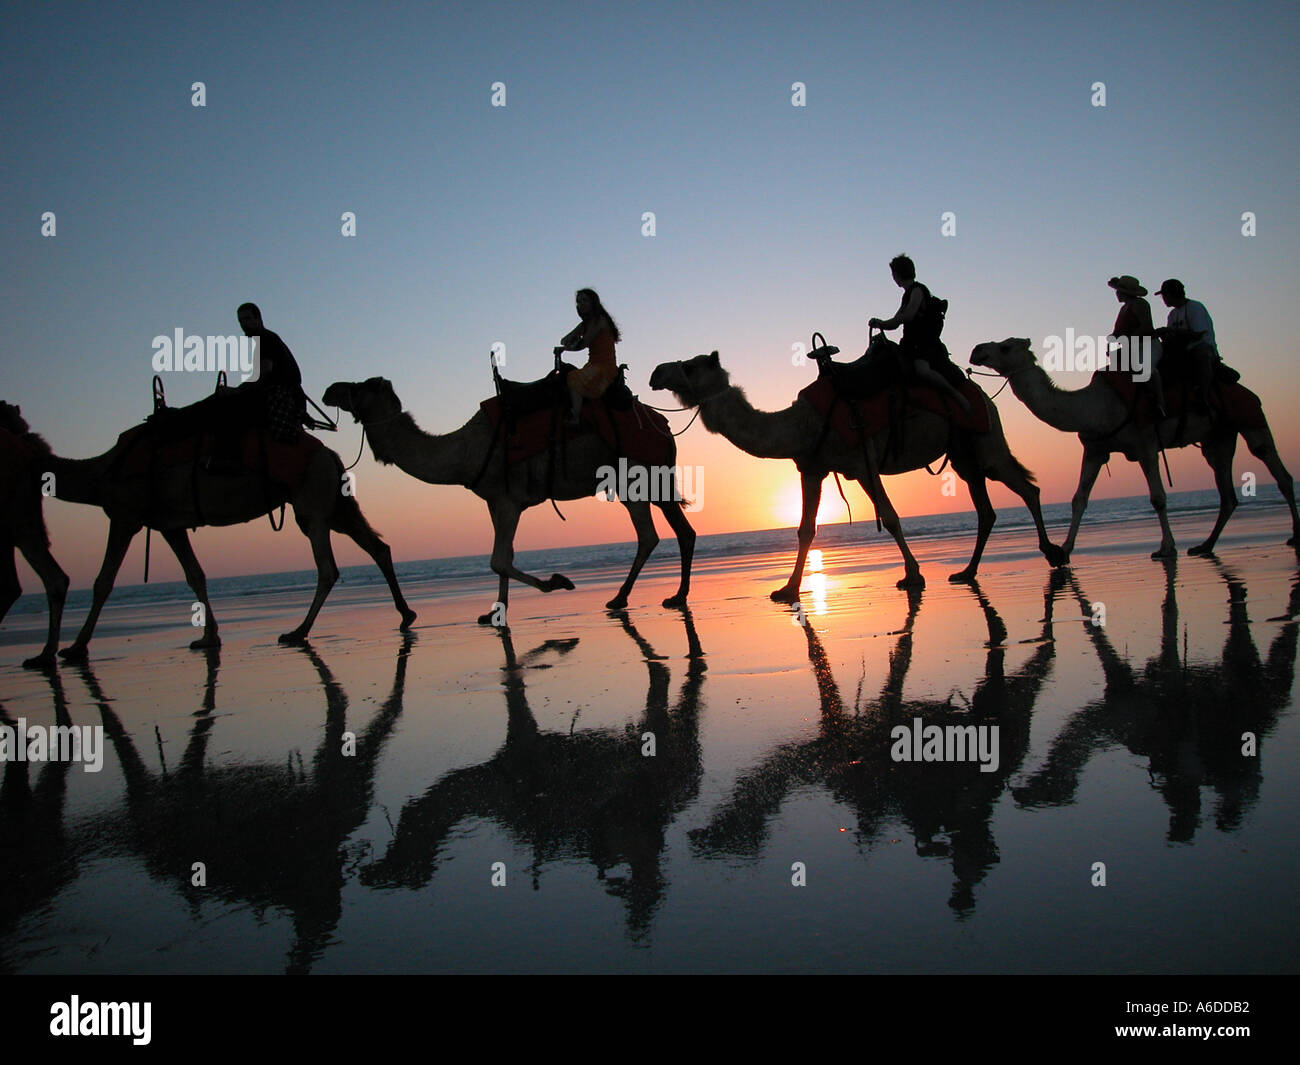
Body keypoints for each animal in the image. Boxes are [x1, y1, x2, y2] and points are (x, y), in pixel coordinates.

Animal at [42, 413, 415, 659]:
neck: (100, 471)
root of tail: (331, 455)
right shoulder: (169, 524)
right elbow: (195, 574)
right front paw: (208, 638)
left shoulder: (125, 514)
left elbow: (103, 581)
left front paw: (75, 647)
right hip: (332, 504)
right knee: (376, 546)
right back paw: (405, 614)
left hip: (313, 501)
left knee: (328, 567)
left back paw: (298, 631)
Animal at [322, 377, 696, 623]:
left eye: (362, 386)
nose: (330, 390)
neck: (464, 451)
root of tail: (662, 423)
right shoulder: (494, 501)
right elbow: (506, 554)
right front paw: (495, 613)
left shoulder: (507, 500)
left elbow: (498, 559)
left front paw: (557, 582)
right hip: (652, 478)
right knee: (678, 531)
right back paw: (662, 596)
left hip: (635, 474)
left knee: (651, 534)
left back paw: (630, 597)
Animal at [649, 351, 1064, 598]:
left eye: (690, 365)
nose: (656, 372)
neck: (801, 424)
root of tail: (982, 394)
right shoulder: (812, 468)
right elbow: (805, 529)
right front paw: (788, 589)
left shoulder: (862, 464)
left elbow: (891, 517)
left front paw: (913, 576)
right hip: (963, 453)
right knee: (987, 508)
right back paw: (967, 571)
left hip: (984, 439)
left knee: (1026, 488)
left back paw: (1052, 552)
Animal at [968, 338, 1300, 559]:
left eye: (1005, 347)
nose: (977, 350)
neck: (1095, 406)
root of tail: (1244, 388)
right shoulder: (1096, 450)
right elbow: (1079, 500)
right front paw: (1064, 550)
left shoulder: (1145, 445)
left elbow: (1158, 497)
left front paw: (1166, 548)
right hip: (1218, 438)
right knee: (1227, 491)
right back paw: (1204, 545)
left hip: (1251, 417)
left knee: (1278, 471)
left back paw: (1294, 535)